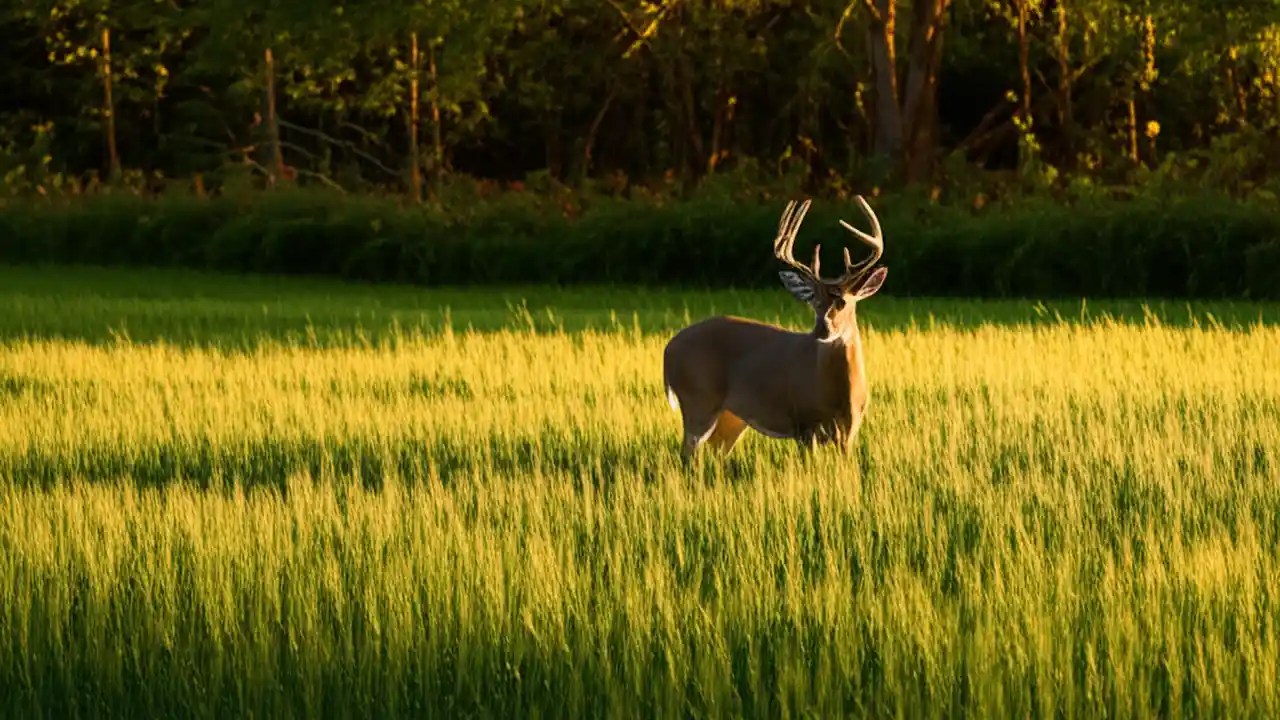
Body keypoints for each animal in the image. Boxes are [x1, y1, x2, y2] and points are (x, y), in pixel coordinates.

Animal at [662, 196, 887, 458]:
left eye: (842, 301)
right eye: (814, 302)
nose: (822, 330)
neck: (840, 395)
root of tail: (668, 348)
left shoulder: (850, 431)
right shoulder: (803, 422)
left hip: (730, 417)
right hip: (698, 398)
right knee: (688, 454)